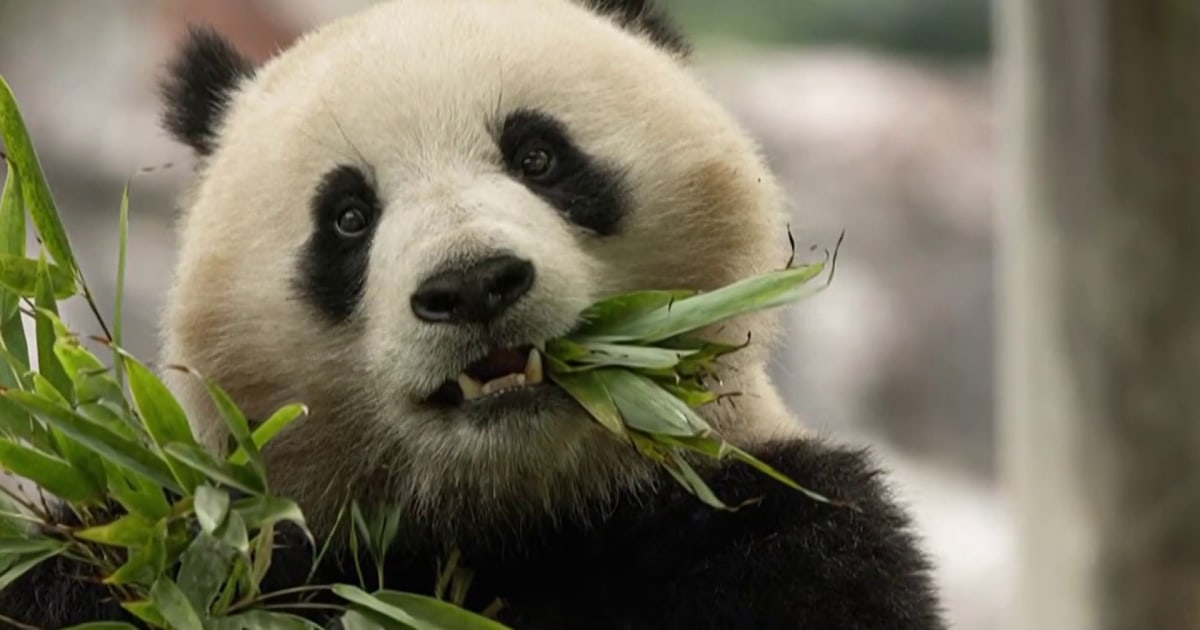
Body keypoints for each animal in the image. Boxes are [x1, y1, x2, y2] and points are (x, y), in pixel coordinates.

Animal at [0, 0, 945, 628]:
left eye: (539, 156)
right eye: (348, 216)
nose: (474, 285)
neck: (514, 516)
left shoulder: (772, 524)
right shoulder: (253, 546)